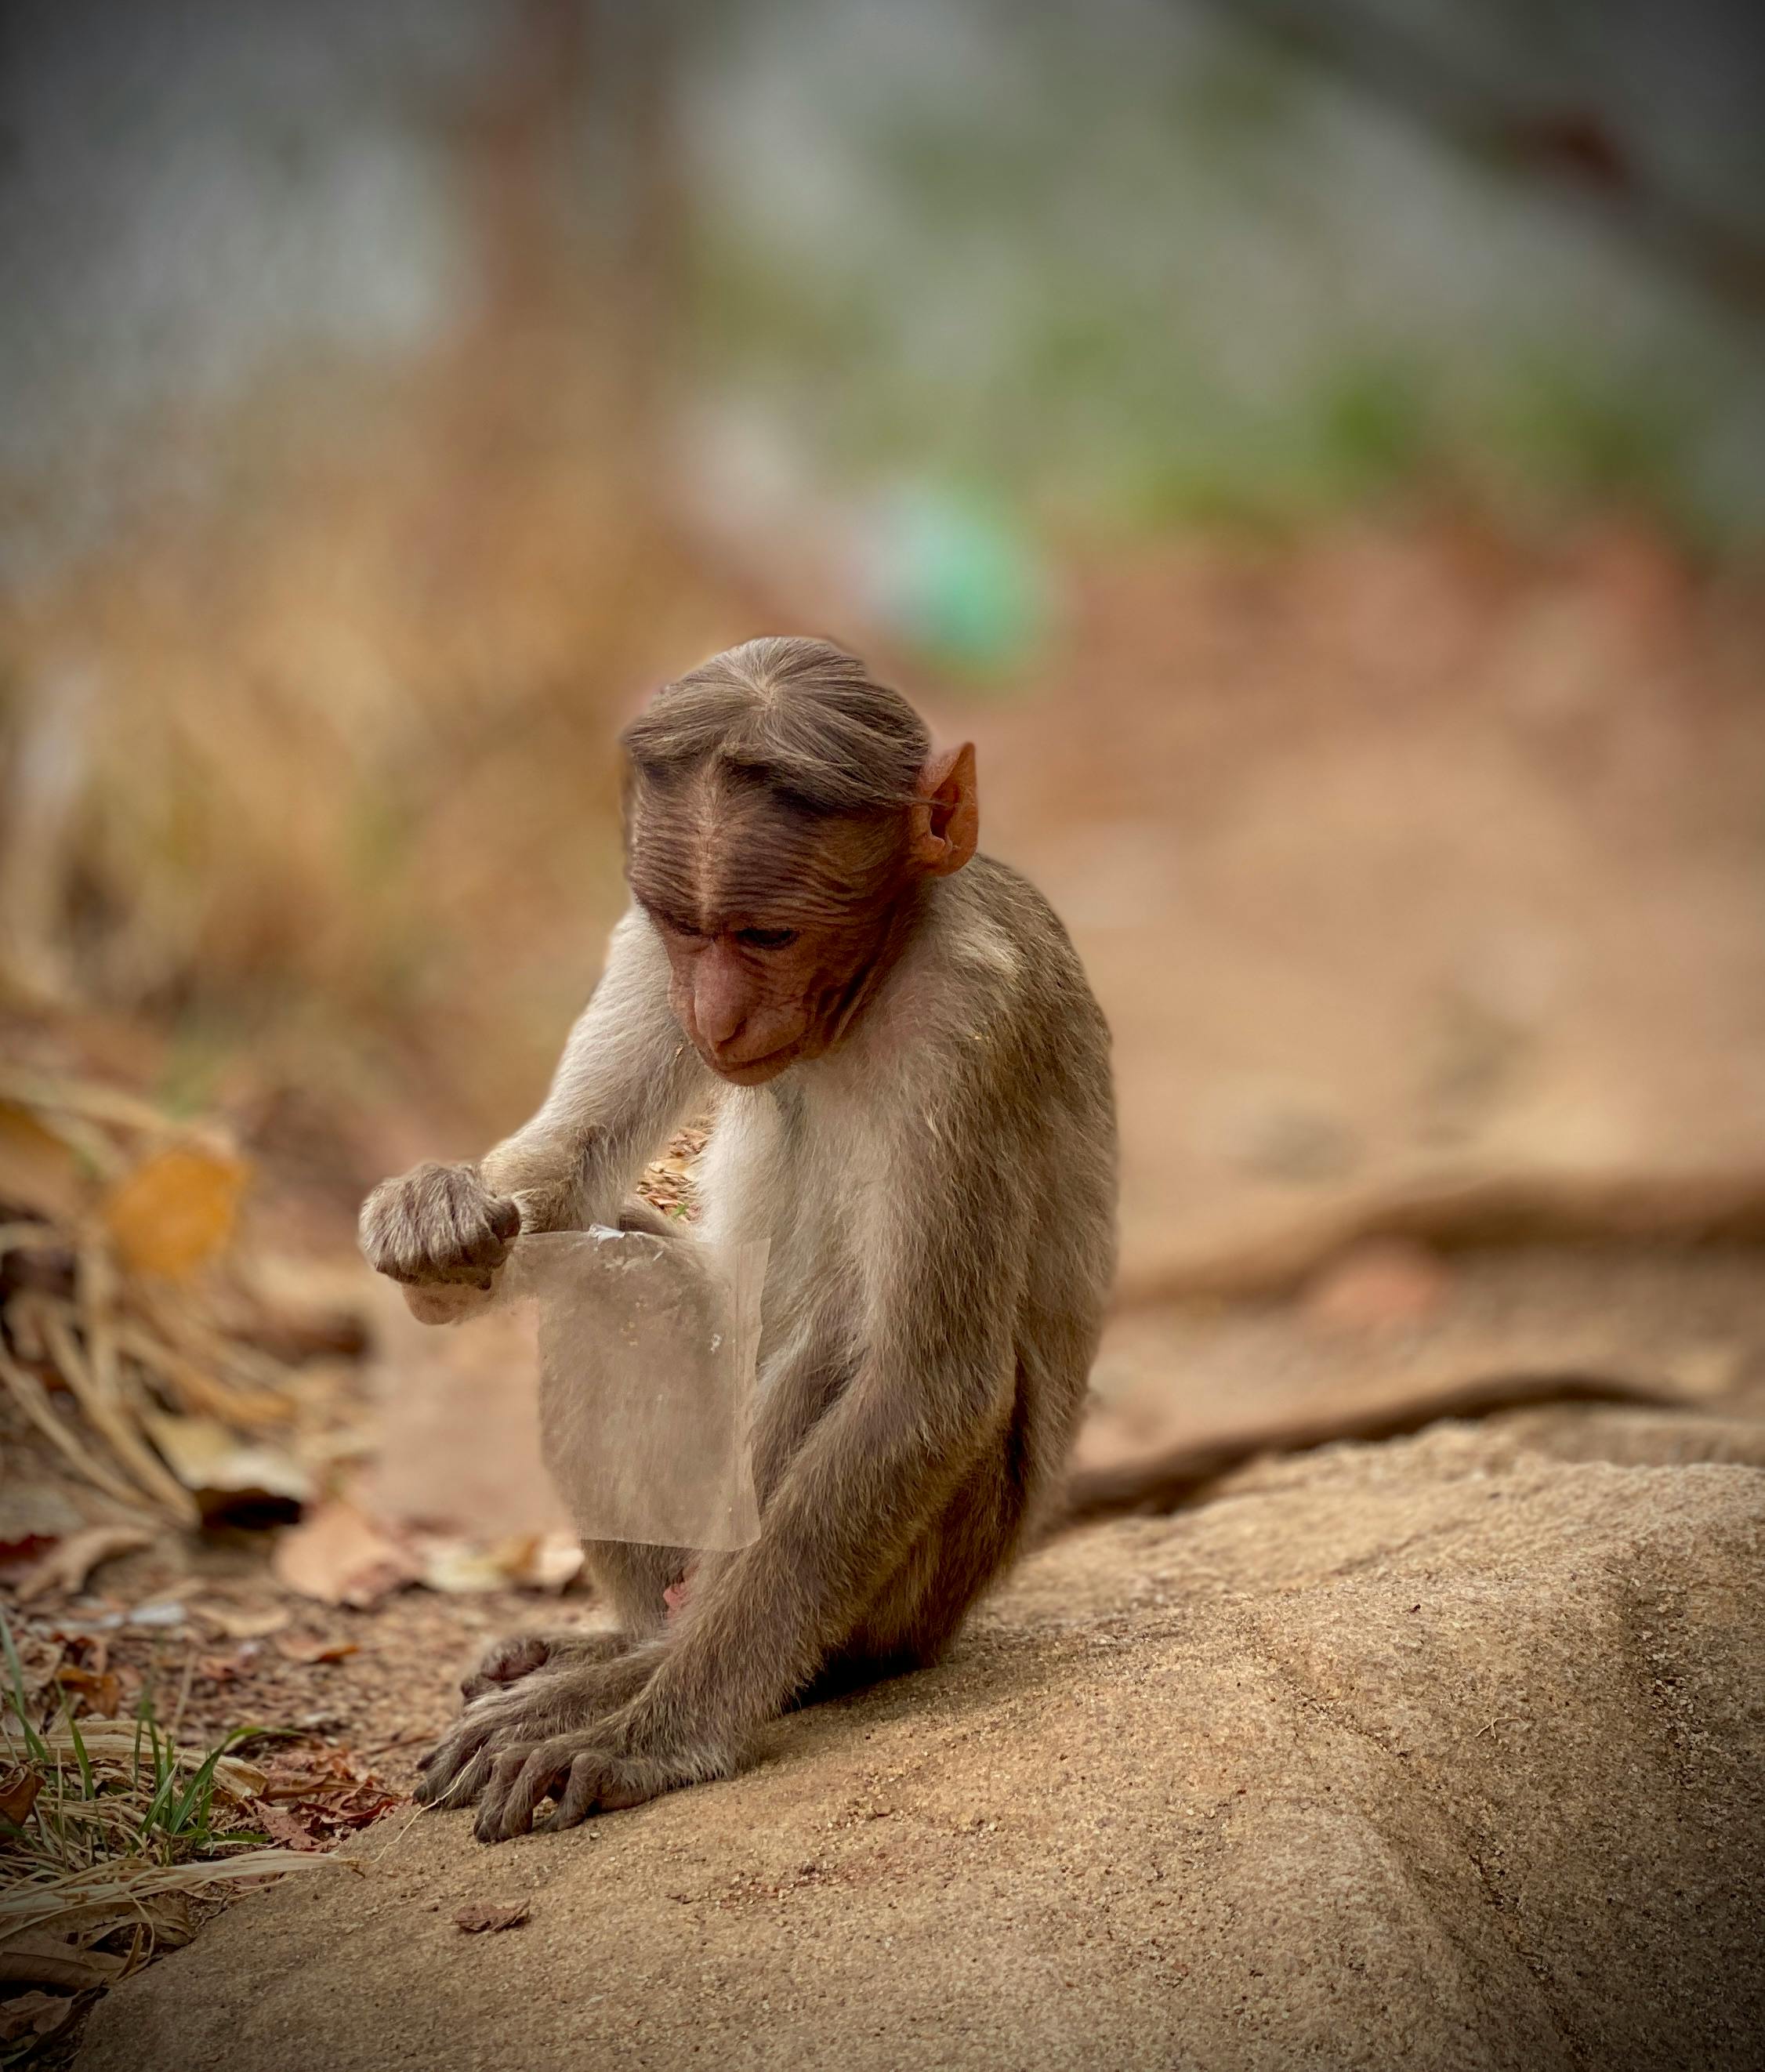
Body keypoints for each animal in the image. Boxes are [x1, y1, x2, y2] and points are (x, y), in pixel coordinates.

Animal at [359, 635, 1118, 1843]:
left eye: (768, 934)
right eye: (687, 928)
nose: (713, 1016)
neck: (871, 983)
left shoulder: (969, 1019)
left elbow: (927, 1383)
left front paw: (651, 1735)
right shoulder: (641, 947)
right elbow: (561, 1180)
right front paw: (434, 1219)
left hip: (915, 1597)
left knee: (840, 1357)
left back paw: (632, 1678)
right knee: (615, 1280)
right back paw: (622, 1643)